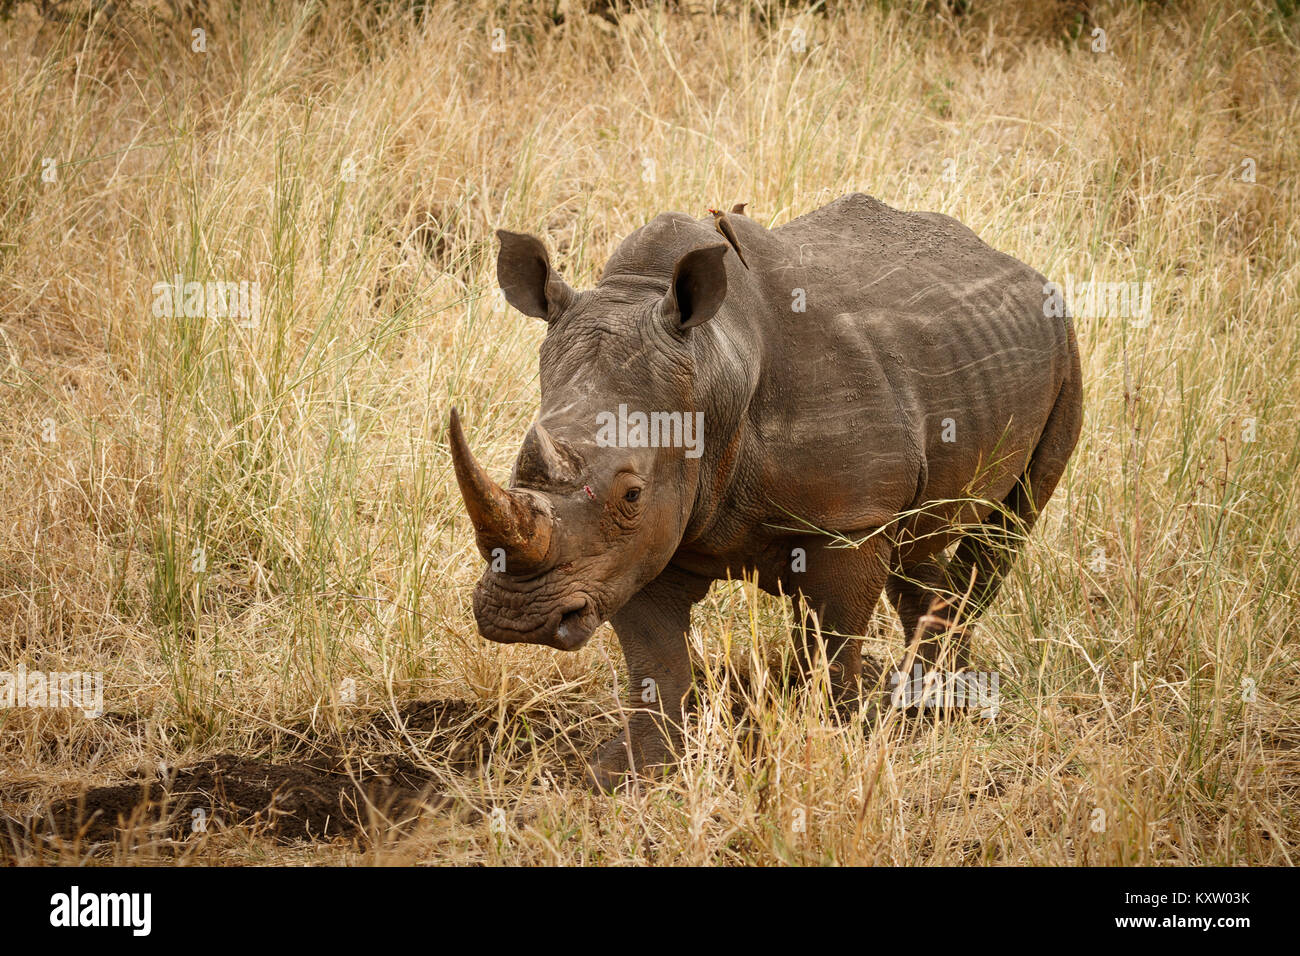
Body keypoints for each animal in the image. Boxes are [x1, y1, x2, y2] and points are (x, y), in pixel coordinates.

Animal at [449, 193, 1082, 790]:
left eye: (630, 494)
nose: (517, 620)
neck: (713, 369)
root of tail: (1012, 263)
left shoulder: (848, 518)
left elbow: (832, 640)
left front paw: (826, 742)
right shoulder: (629, 551)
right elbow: (657, 660)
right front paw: (629, 773)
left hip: (1066, 349)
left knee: (1005, 530)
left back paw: (934, 709)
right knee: (919, 544)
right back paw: (930, 704)